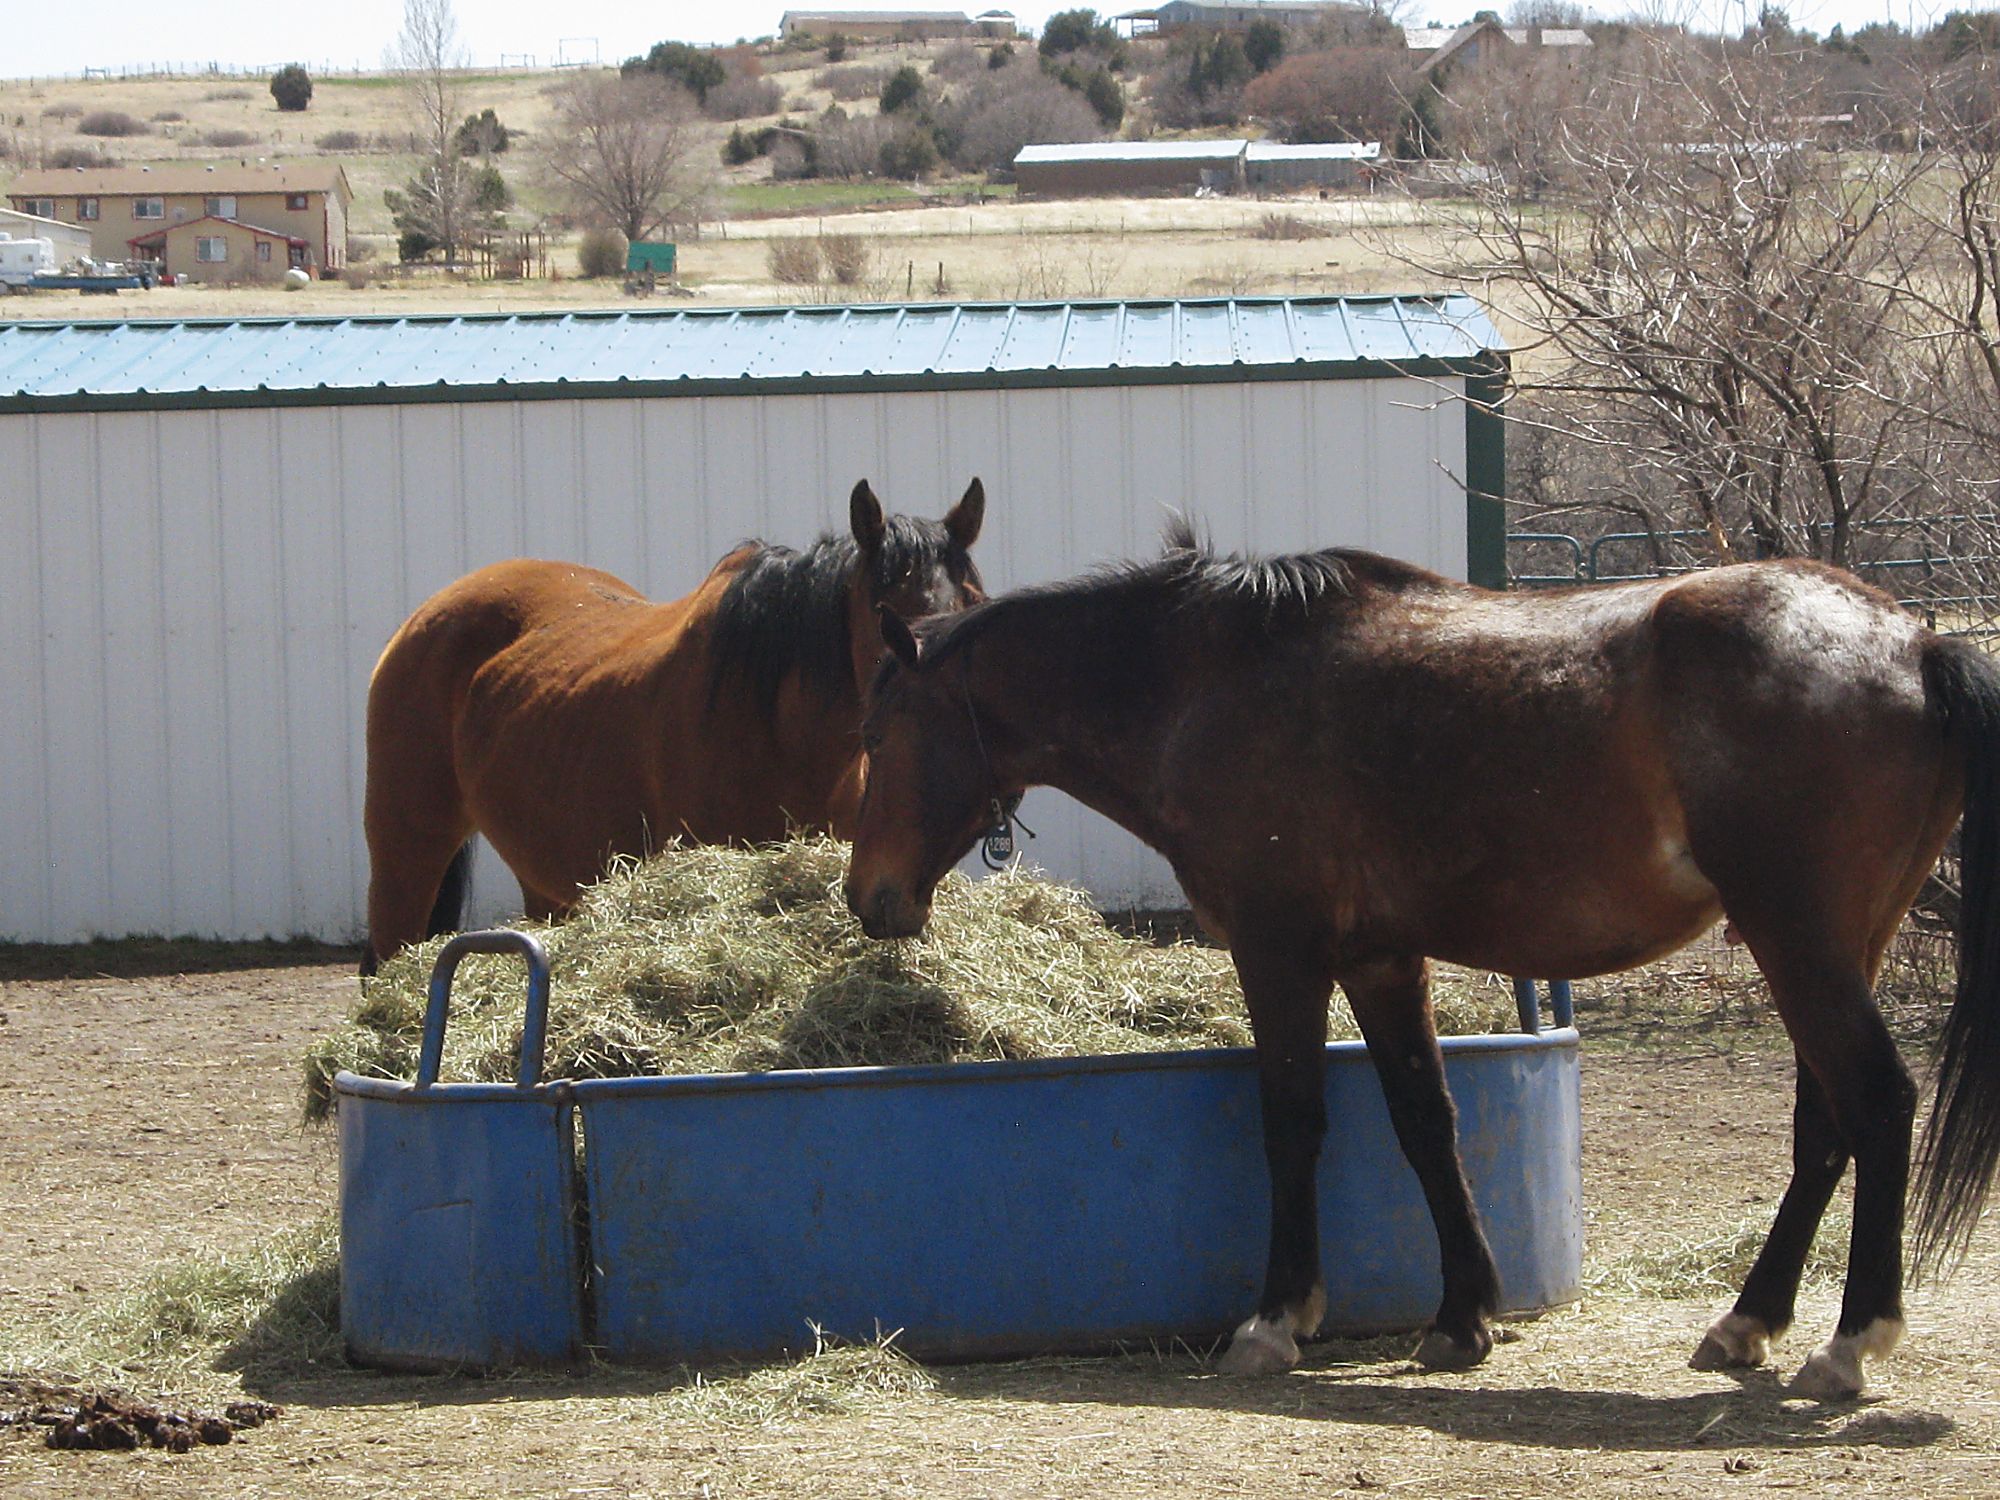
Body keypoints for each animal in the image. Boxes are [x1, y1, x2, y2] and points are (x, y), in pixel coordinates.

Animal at [844, 525, 2000, 1400]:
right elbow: (1423, 1122)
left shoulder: (1280, 951)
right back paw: (1746, 1321)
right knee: (1824, 1130)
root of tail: (1910, 641)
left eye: (881, 734)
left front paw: (1276, 1318)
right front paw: (1460, 1317)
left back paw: (1849, 1343)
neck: (1210, 682)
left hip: (1797, 941)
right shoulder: (1382, 959)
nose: (867, 896)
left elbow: (1292, 1121)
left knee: (1876, 1104)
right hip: (1833, 947)